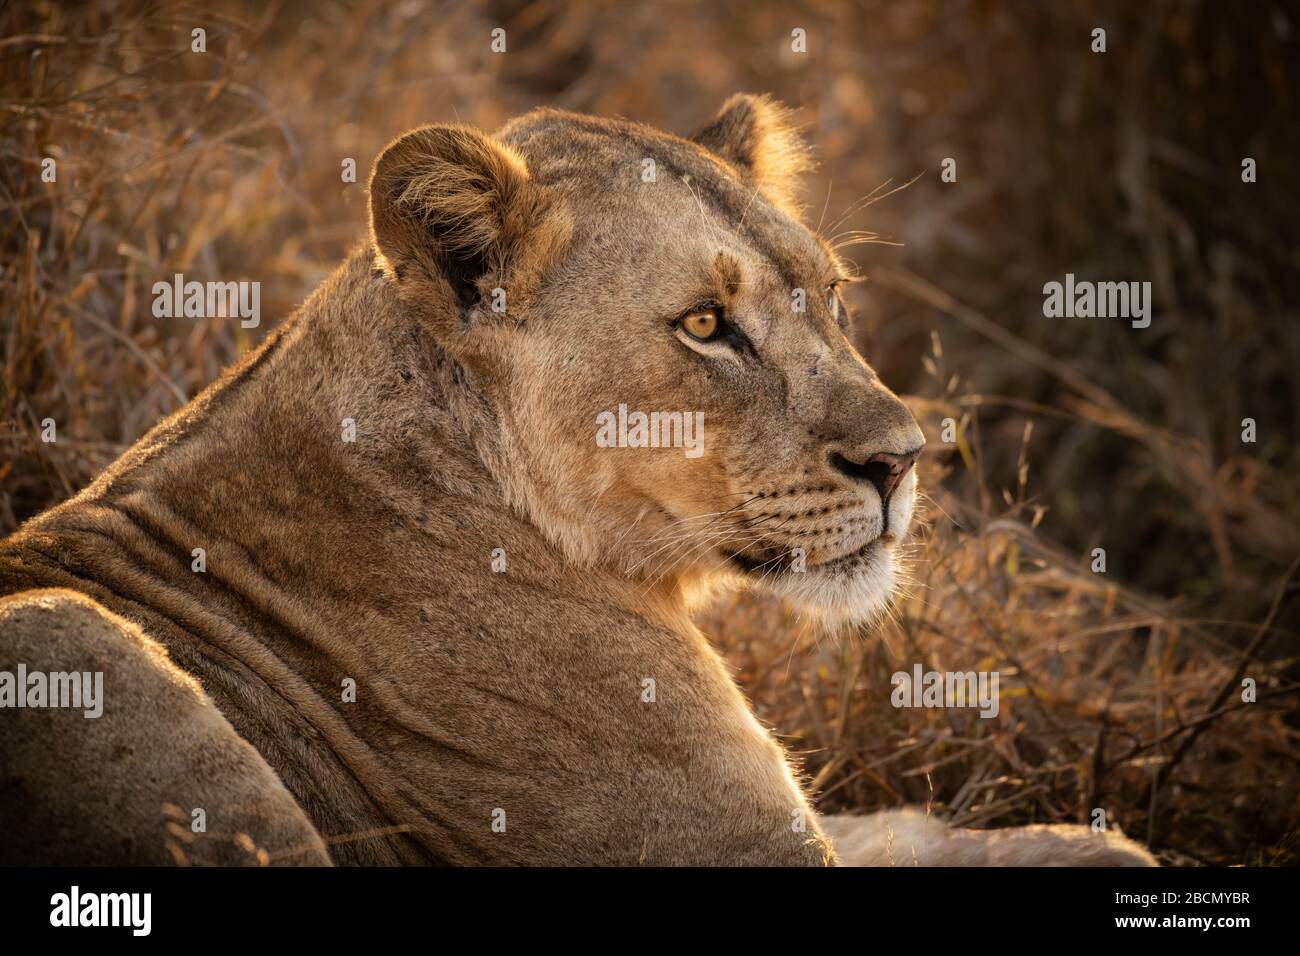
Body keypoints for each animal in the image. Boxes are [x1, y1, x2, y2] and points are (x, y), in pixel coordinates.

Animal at [0, 95, 1155, 866]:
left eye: (831, 296)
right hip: (69, 638)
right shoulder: (728, 845)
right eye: (707, 325)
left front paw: (1091, 839)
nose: (903, 459)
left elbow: (915, 828)